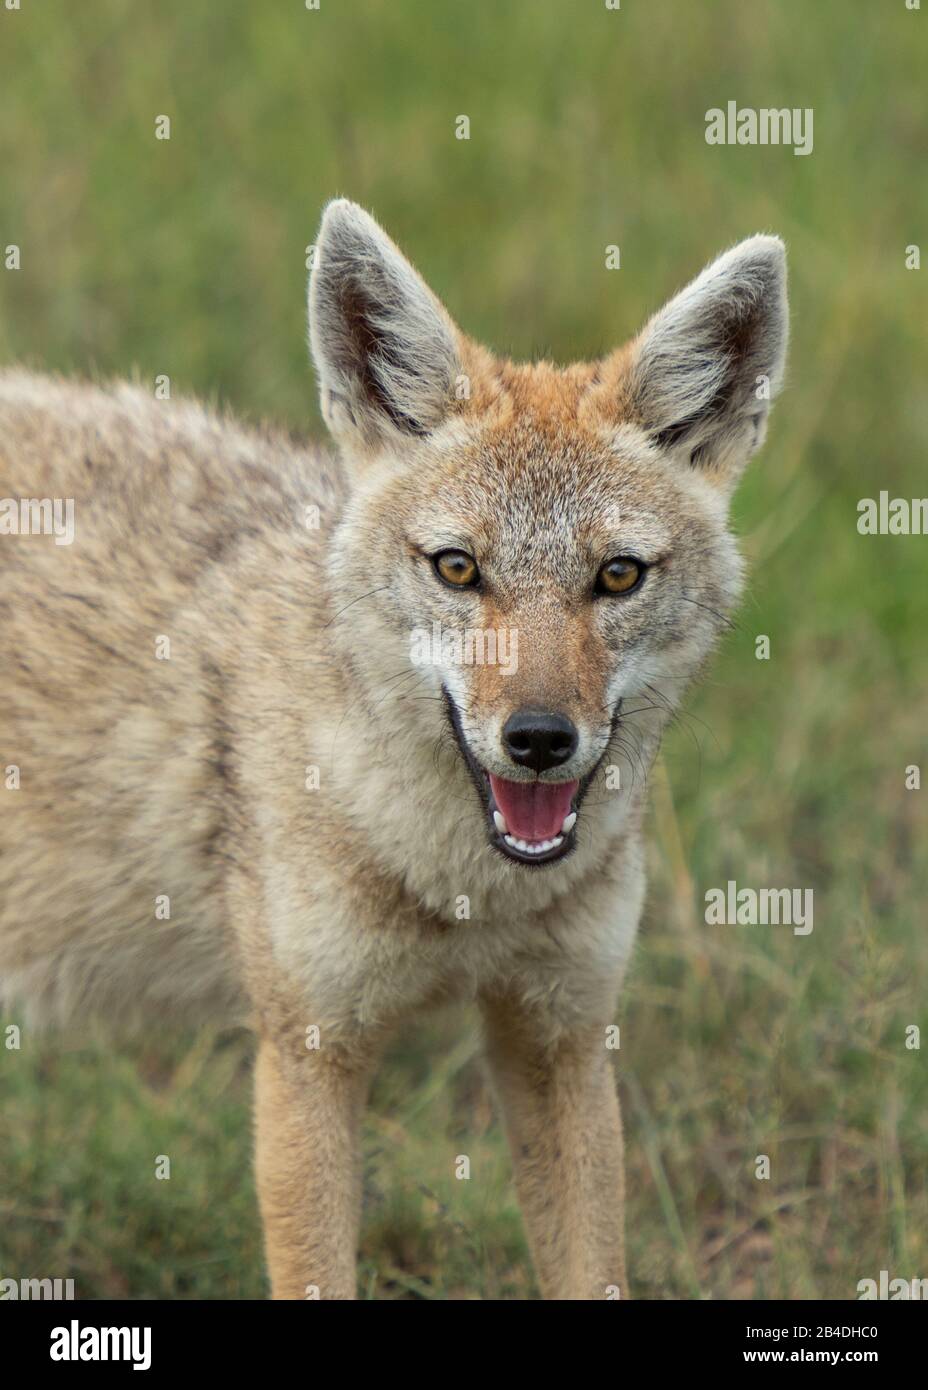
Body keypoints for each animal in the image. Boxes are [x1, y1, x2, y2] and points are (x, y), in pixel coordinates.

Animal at [0, 200, 788, 1299]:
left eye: (617, 576)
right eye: (458, 569)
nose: (538, 739)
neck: (463, 895)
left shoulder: (561, 1038)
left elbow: (592, 1268)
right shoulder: (308, 1056)